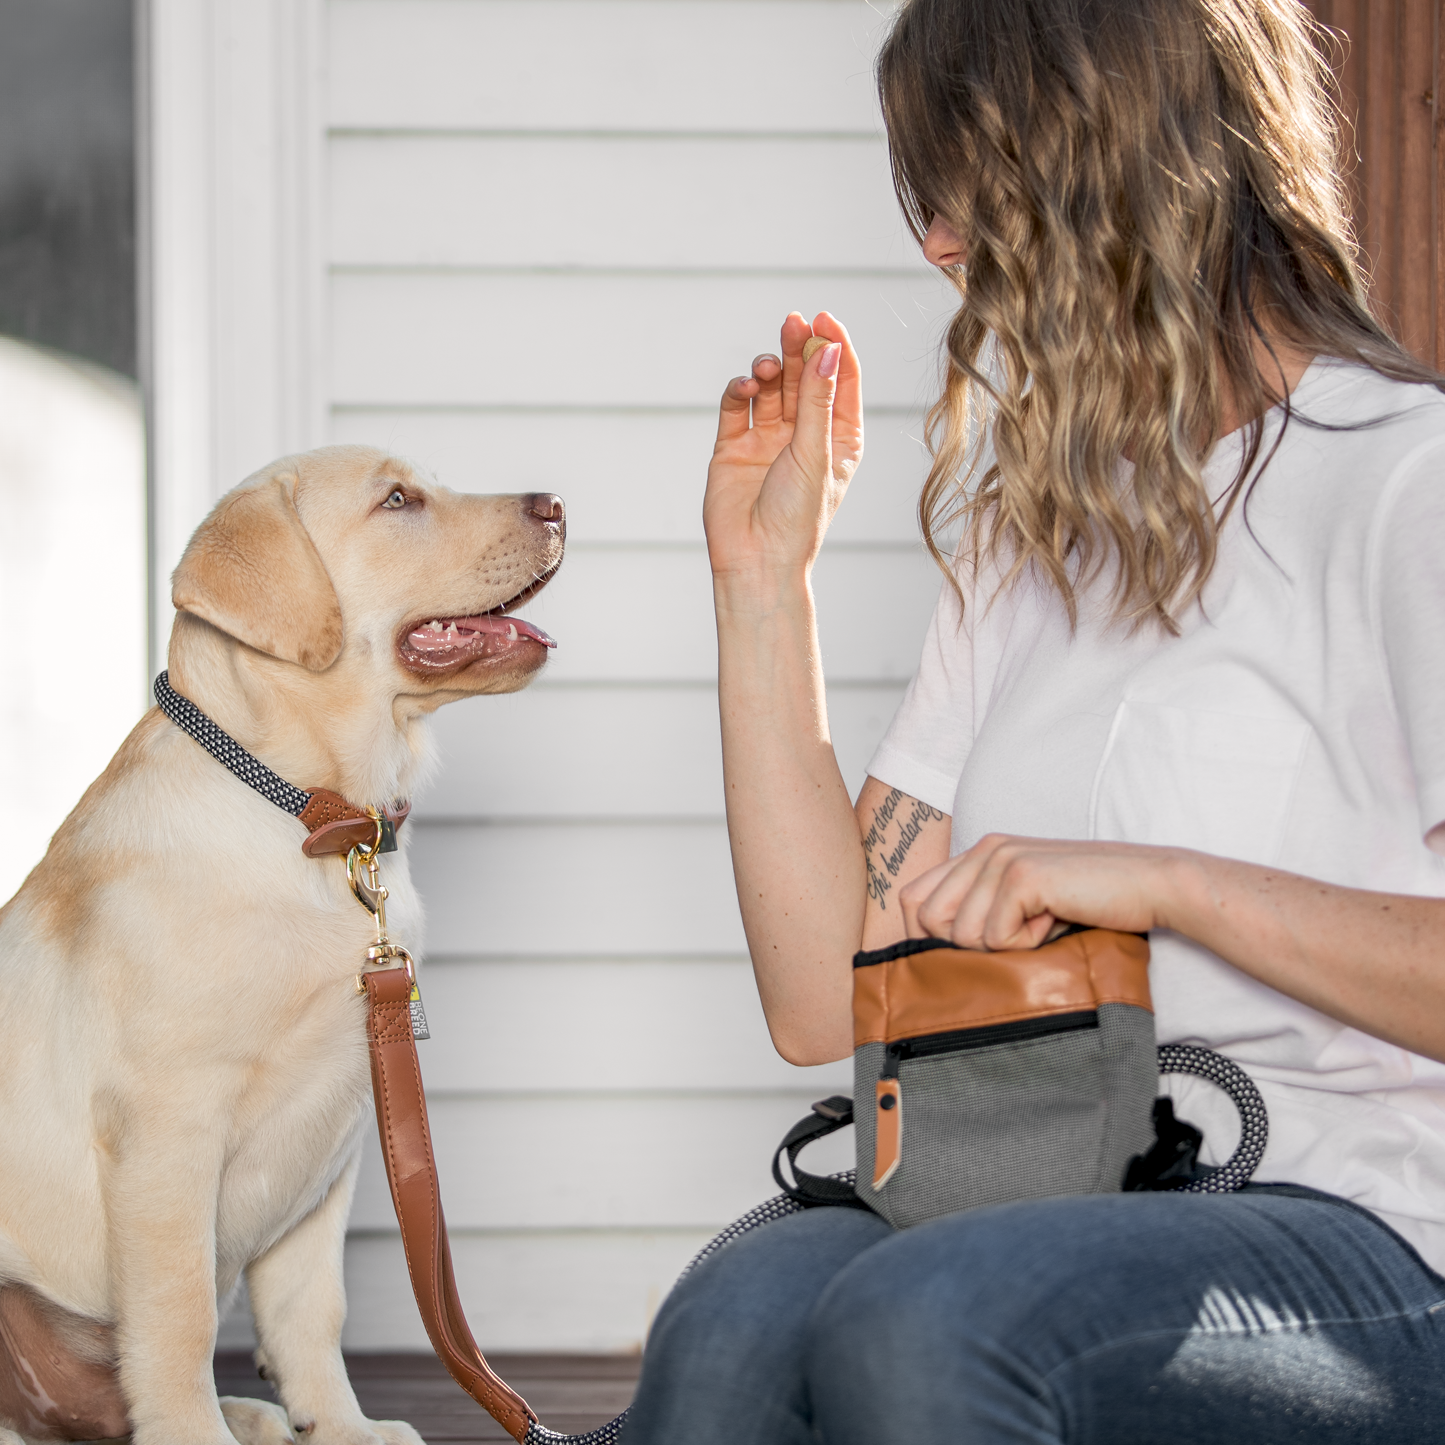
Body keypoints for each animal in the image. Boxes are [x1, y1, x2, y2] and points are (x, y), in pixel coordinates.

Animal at [0, 445, 563, 1439]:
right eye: (397, 500)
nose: (559, 505)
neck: (315, 819)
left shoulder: (339, 1129)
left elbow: (310, 1311)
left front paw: (339, 1426)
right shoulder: (165, 1128)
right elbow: (178, 1312)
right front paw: (192, 1436)